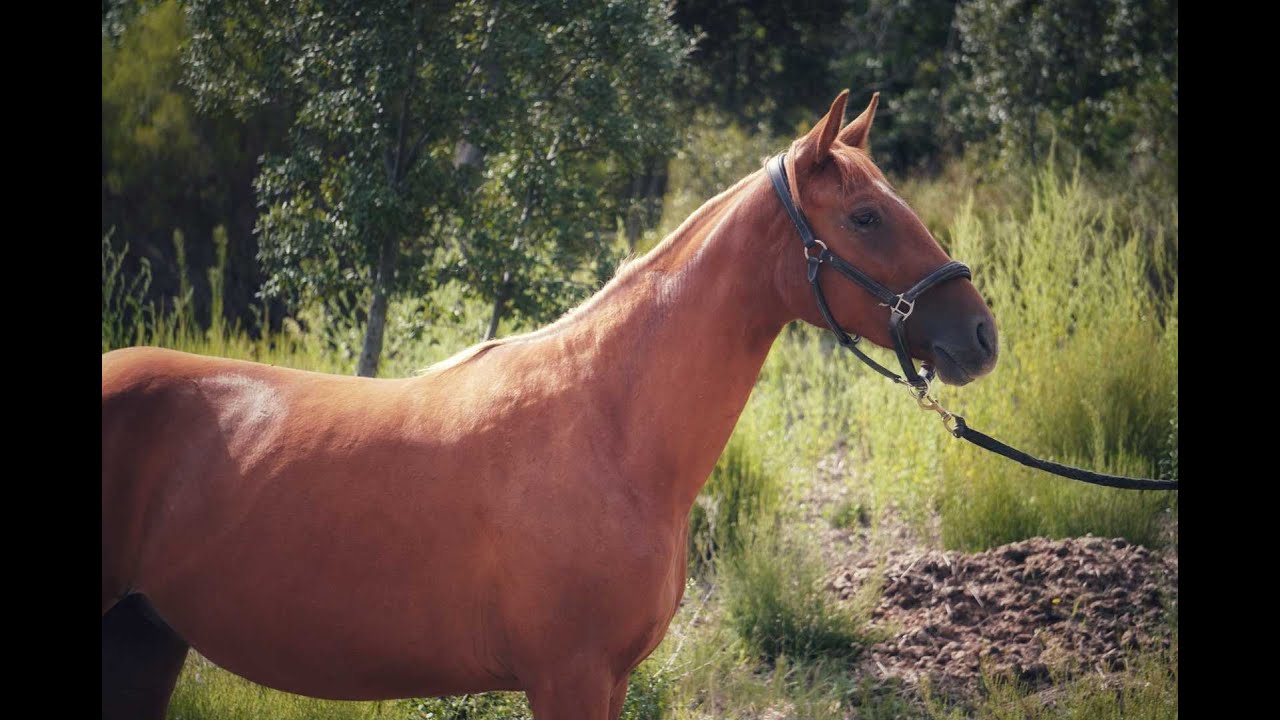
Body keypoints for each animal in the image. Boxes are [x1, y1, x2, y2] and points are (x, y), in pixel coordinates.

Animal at [101, 90, 999, 720]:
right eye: (865, 215)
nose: (982, 335)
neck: (609, 430)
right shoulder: (568, 677)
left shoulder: (608, 679)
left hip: (144, 644)